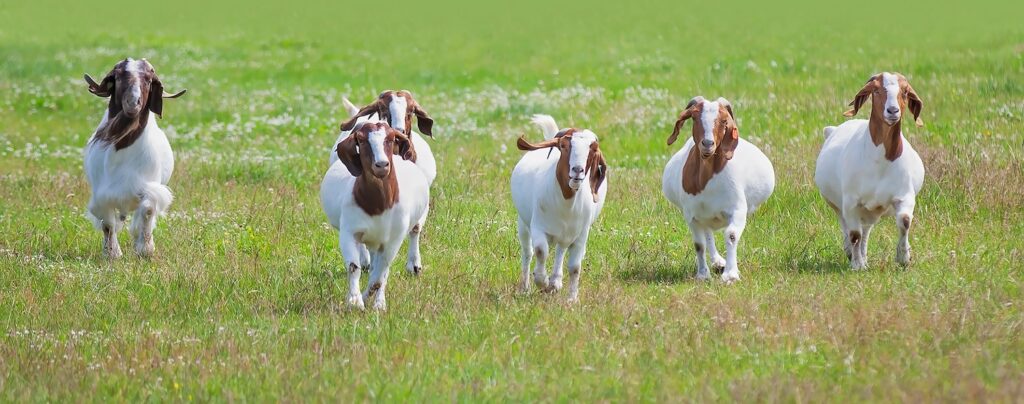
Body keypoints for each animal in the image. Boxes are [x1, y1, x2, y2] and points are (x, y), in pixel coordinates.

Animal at [82, 58, 186, 259]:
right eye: (117, 76)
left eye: (149, 79)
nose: (132, 102)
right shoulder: (102, 193)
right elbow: (108, 223)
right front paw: (112, 253)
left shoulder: (149, 186)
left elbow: (147, 211)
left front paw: (145, 249)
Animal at [320, 118, 428, 310]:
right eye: (362, 140)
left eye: (391, 139)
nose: (382, 165)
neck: (378, 206)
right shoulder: (349, 232)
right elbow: (353, 267)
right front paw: (355, 301)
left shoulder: (392, 240)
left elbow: (379, 277)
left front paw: (373, 302)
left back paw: (380, 302)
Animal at [511, 115, 608, 302]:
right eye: (563, 146)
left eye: (593, 150)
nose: (577, 170)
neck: (566, 204)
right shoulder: (538, 226)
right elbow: (541, 251)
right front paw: (541, 281)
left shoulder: (580, 235)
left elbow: (575, 267)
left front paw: (571, 298)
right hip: (523, 223)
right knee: (528, 252)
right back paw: (525, 287)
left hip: (565, 234)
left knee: (560, 250)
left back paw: (556, 281)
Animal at [662, 97, 775, 283]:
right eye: (694, 117)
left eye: (723, 120)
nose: (707, 144)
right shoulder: (692, 215)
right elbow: (699, 244)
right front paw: (702, 274)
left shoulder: (737, 209)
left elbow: (731, 235)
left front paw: (731, 274)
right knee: (708, 235)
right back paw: (717, 262)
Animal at [814, 72, 925, 269]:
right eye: (876, 90)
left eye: (905, 92)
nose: (892, 111)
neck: (879, 162)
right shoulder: (851, 202)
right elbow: (854, 234)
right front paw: (857, 265)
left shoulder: (904, 194)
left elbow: (904, 221)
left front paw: (904, 257)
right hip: (838, 204)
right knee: (848, 227)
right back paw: (851, 253)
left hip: (870, 210)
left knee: (865, 230)